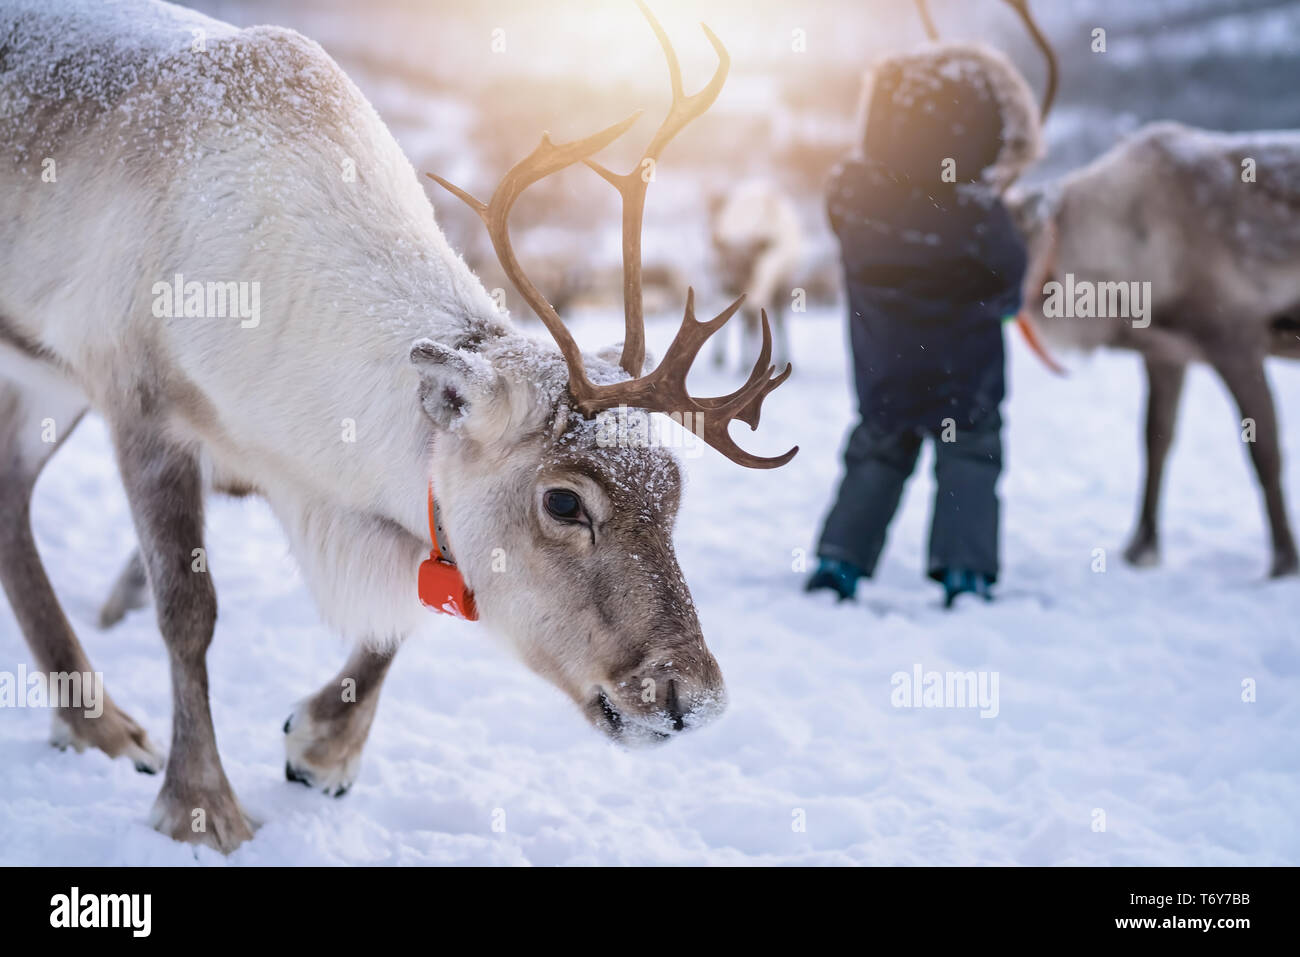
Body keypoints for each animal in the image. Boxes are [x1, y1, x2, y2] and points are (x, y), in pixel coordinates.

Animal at [0, 0, 794, 853]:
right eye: (564, 501)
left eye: (676, 489)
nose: (693, 697)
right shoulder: (139, 402)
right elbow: (187, 611)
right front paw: (201, 806)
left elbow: (410, 603)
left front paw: (321, 747)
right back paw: (108, 728)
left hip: (46, 380)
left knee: (10, 490)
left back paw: (92, 724)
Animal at [1009, 122, 1300, 578]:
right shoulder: (1166, 351)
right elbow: (1155, 441)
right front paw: (1141, 547)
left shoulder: (1236, 338)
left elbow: (1265, 452)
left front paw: (1284, 560)